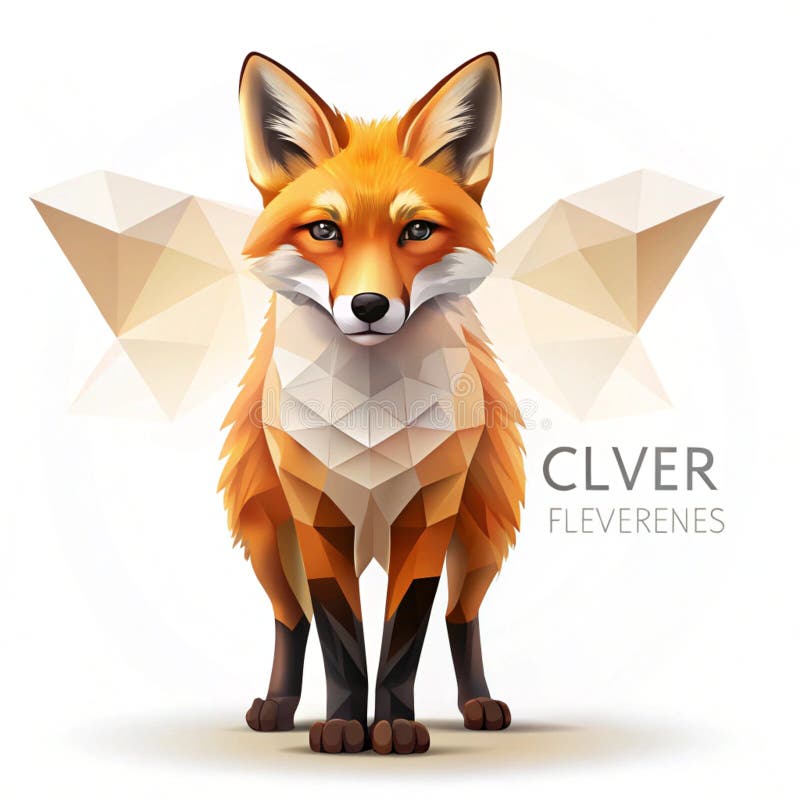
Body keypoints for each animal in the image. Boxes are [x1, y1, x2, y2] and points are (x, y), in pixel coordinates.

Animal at [218, 51, 525, 755]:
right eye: (324, 229)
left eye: (417, 230)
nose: (367, 306)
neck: (369, 417)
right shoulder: (316, 518)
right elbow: (341, 638)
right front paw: (340, 726)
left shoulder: (428, 517)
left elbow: (405, 635)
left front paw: (394, 727)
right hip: (269, 540)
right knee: (291, 620)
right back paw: (277, 707)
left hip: (479, 539)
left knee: (462, 615)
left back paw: (479, 703)